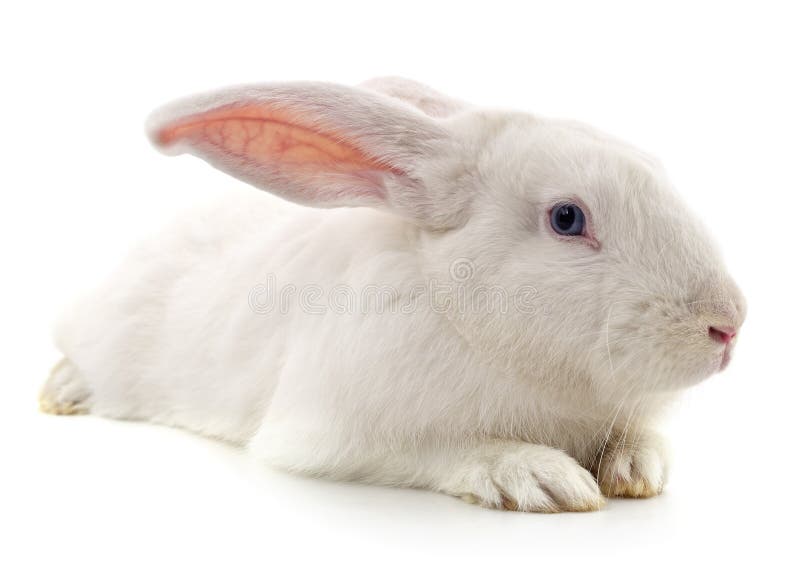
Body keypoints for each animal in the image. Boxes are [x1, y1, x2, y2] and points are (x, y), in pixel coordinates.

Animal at [40, 77, 745, 512]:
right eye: (567, 218)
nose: (729, 325)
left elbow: (640, 441)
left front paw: (638, 470)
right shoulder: (338, 434)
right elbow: (441, 451)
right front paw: (538, 477)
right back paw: (63, 392)